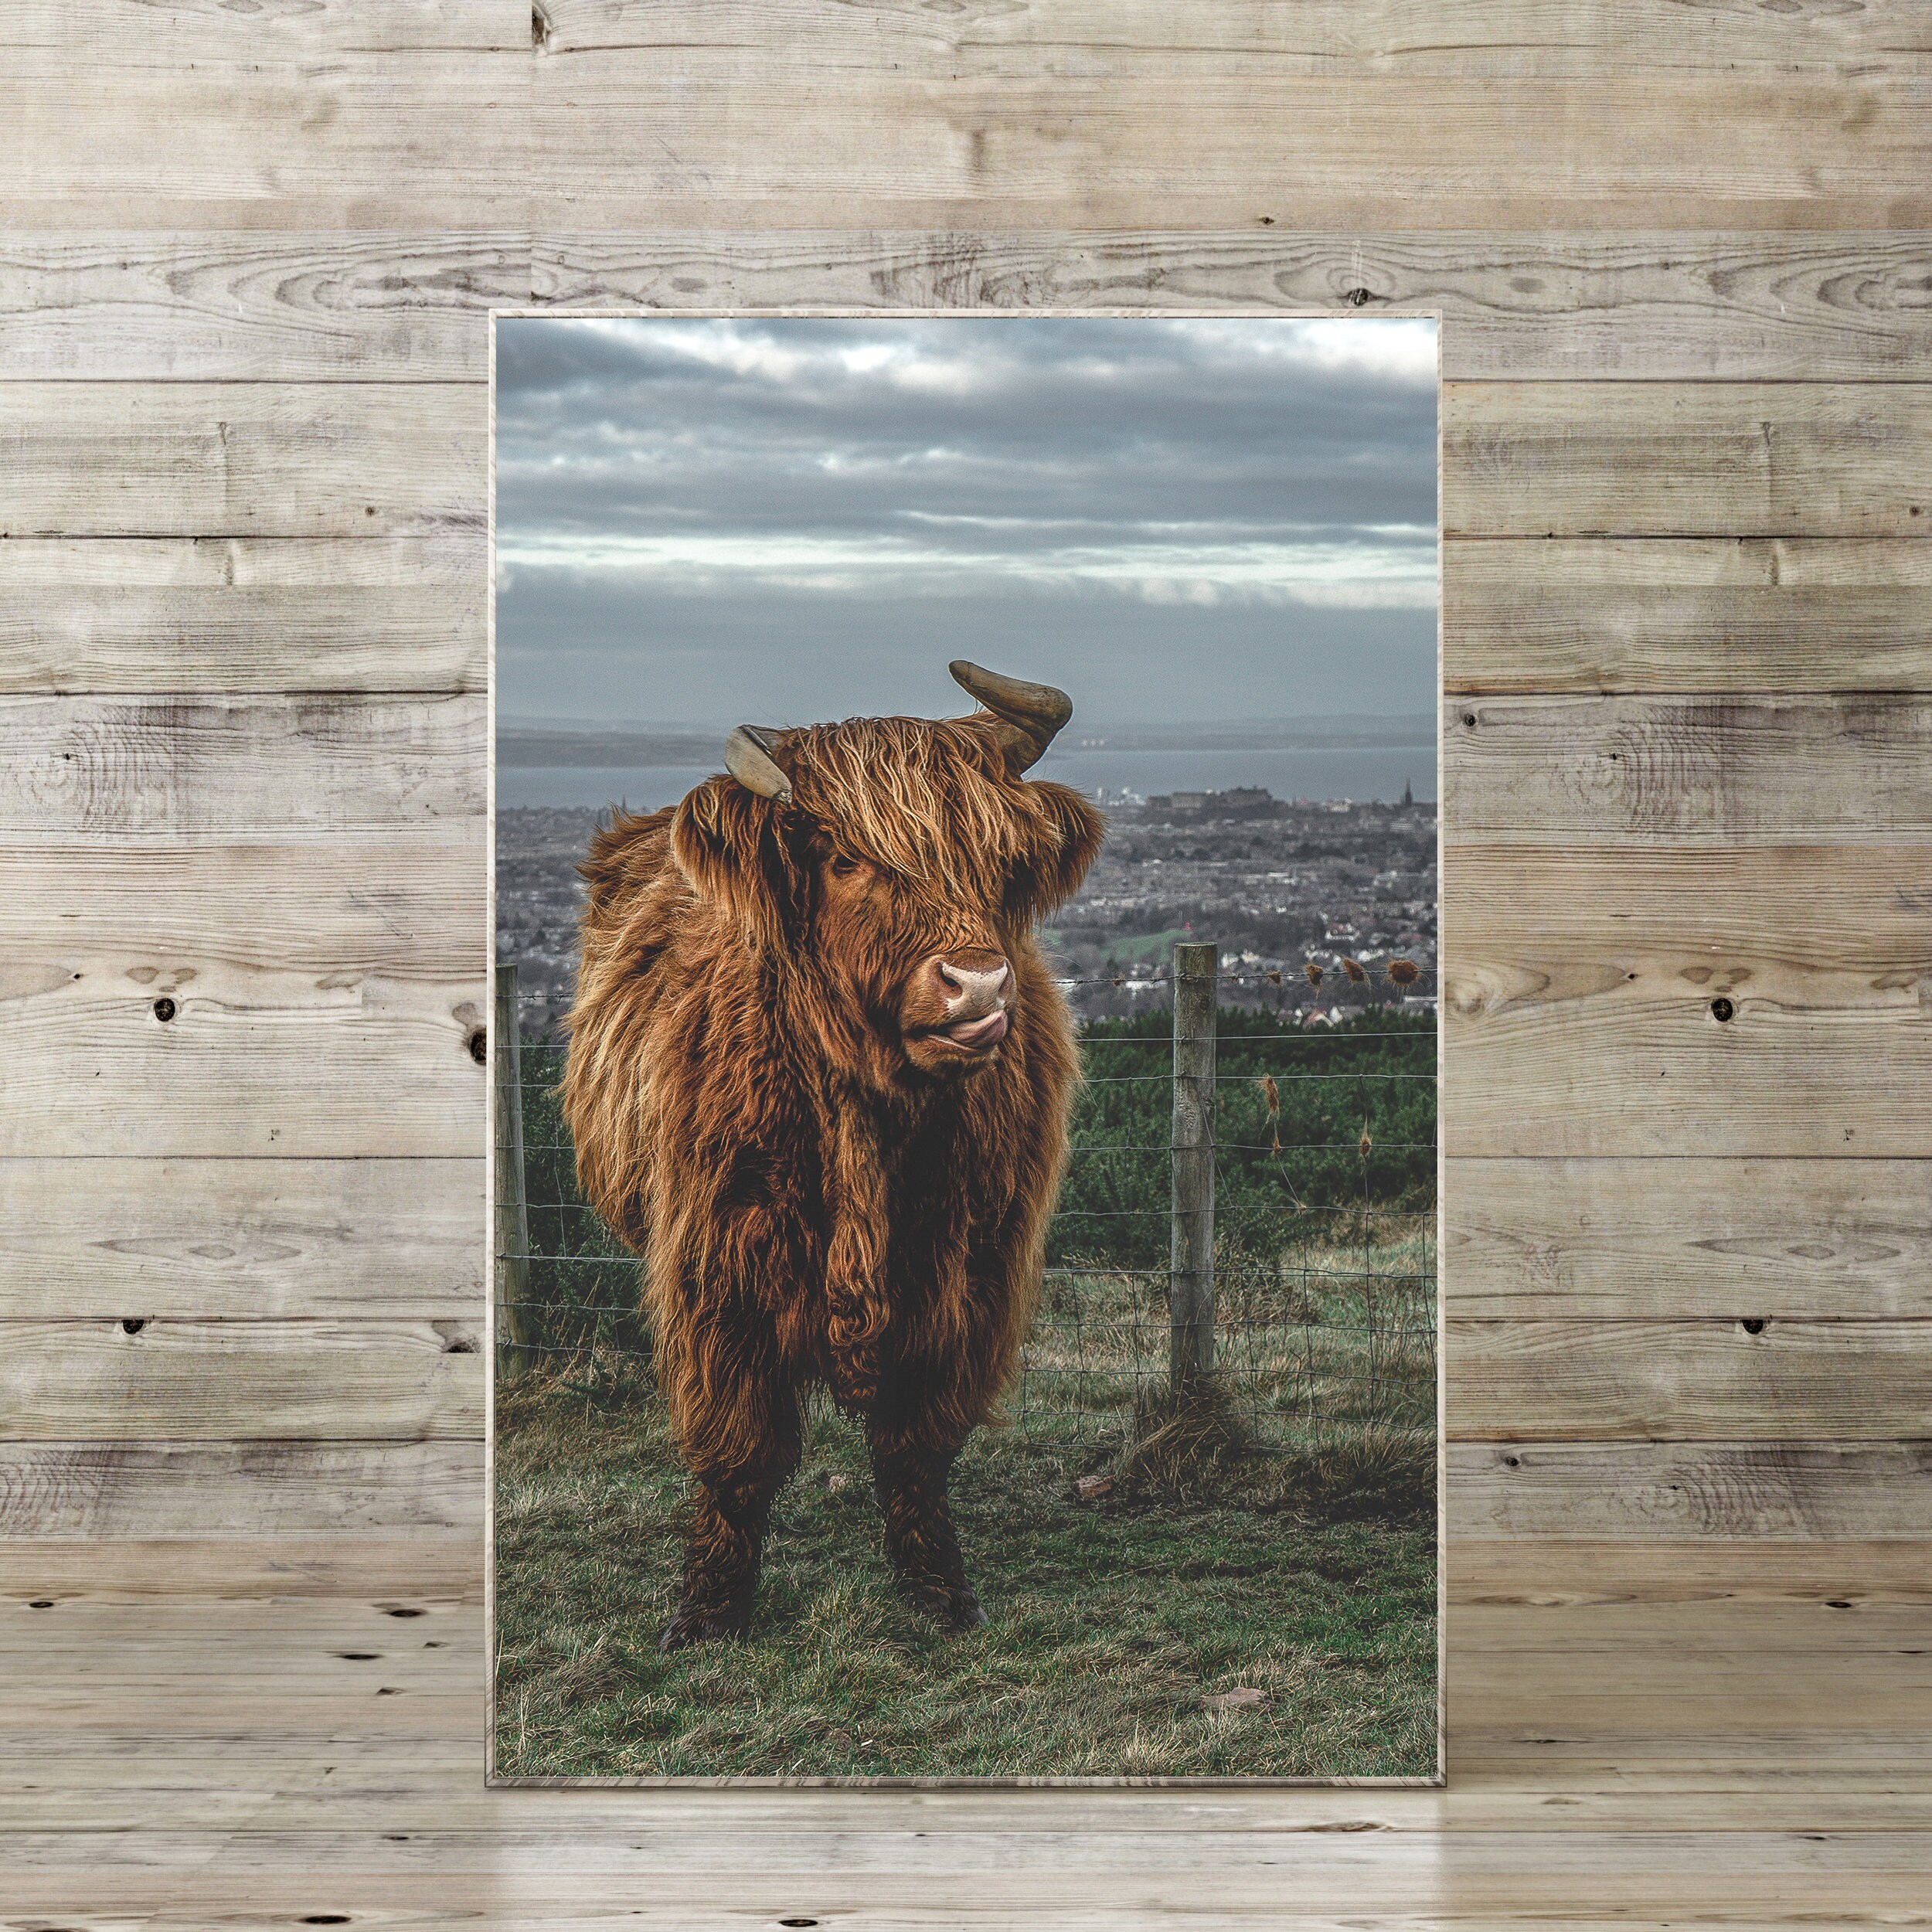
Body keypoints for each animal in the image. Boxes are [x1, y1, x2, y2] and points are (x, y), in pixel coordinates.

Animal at [562, 661, 1105, 1650]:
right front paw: (707, 1610)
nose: (977, 987)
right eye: (846, 858)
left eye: (999, 859)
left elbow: (916, 1445)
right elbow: (738, 1448)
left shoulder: (968, 1277)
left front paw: (940, 1589)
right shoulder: (717, 1271)